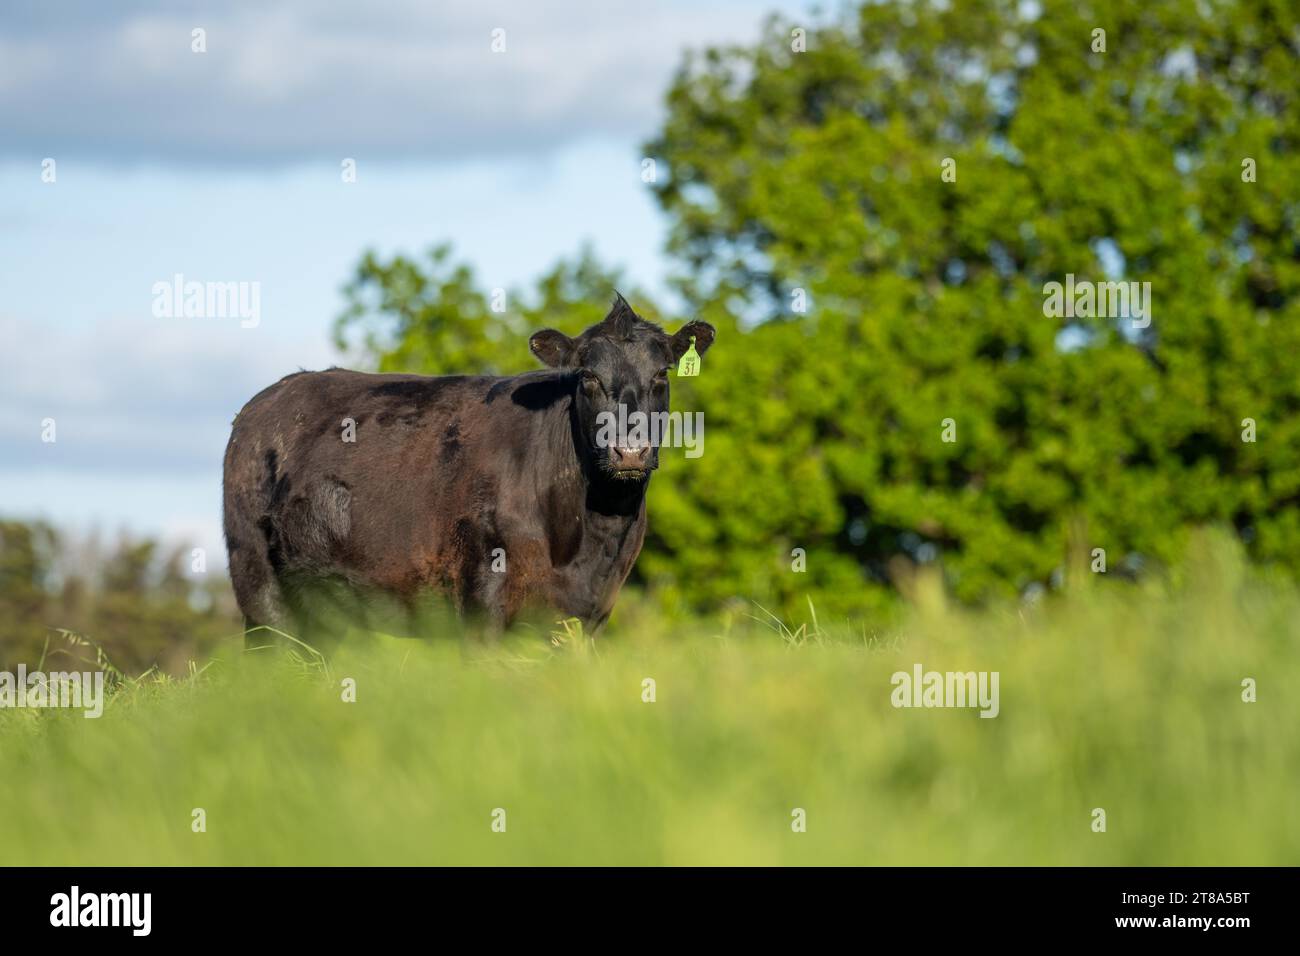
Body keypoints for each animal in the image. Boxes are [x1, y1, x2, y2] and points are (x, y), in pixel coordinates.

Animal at [222, 294, 715, 645]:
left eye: (662, 374)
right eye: (588, 377)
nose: (629, 452)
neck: (589, 533)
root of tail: (267, 398)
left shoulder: (591, 613)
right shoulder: (482, 599)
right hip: (259, 591)